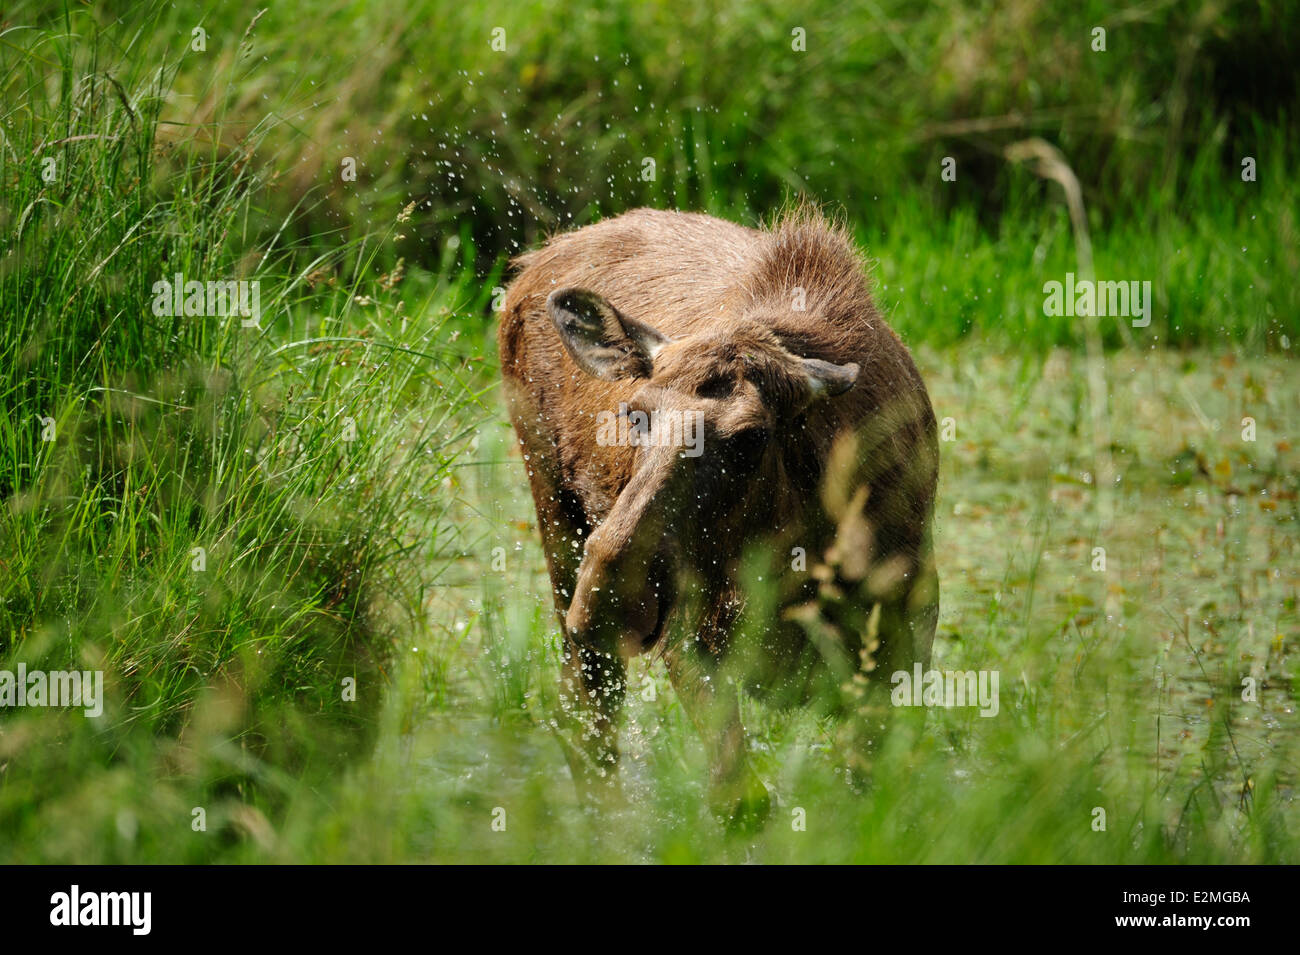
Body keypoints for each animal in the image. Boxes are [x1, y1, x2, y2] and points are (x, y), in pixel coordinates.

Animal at [498, 205, 939, 825]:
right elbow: (741, 801)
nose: (610, 596)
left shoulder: (905, 638)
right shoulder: (689, 637)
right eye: (634, 413)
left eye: (751, 437)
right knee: (585, 715)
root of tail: (529, 264)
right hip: (558, 527)